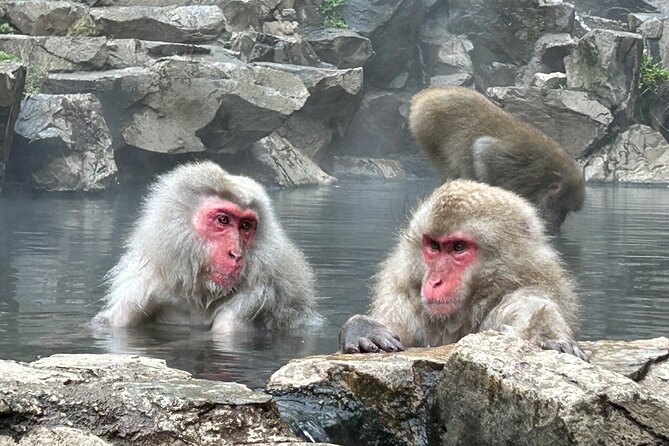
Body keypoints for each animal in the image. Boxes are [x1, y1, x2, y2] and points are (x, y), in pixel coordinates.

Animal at [93, 161, 321, 332]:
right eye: (223, 220)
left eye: (245, 226)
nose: (236, 254)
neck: (201, 296)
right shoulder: (139, 292)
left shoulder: (255, 297)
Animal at [339, 179, 587, 360]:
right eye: (434, 246)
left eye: (458, 247)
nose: (434, 282)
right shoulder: (404, 297)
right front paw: (363, 328)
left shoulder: (528, 288)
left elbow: (534, 309)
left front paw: (546, 336)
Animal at [408, 86, 585, 234]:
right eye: (562, 210)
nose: (559, 223)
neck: (542, 177)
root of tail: (425, 95)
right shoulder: (514, 164)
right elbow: (483, 148)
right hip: (427, 128)